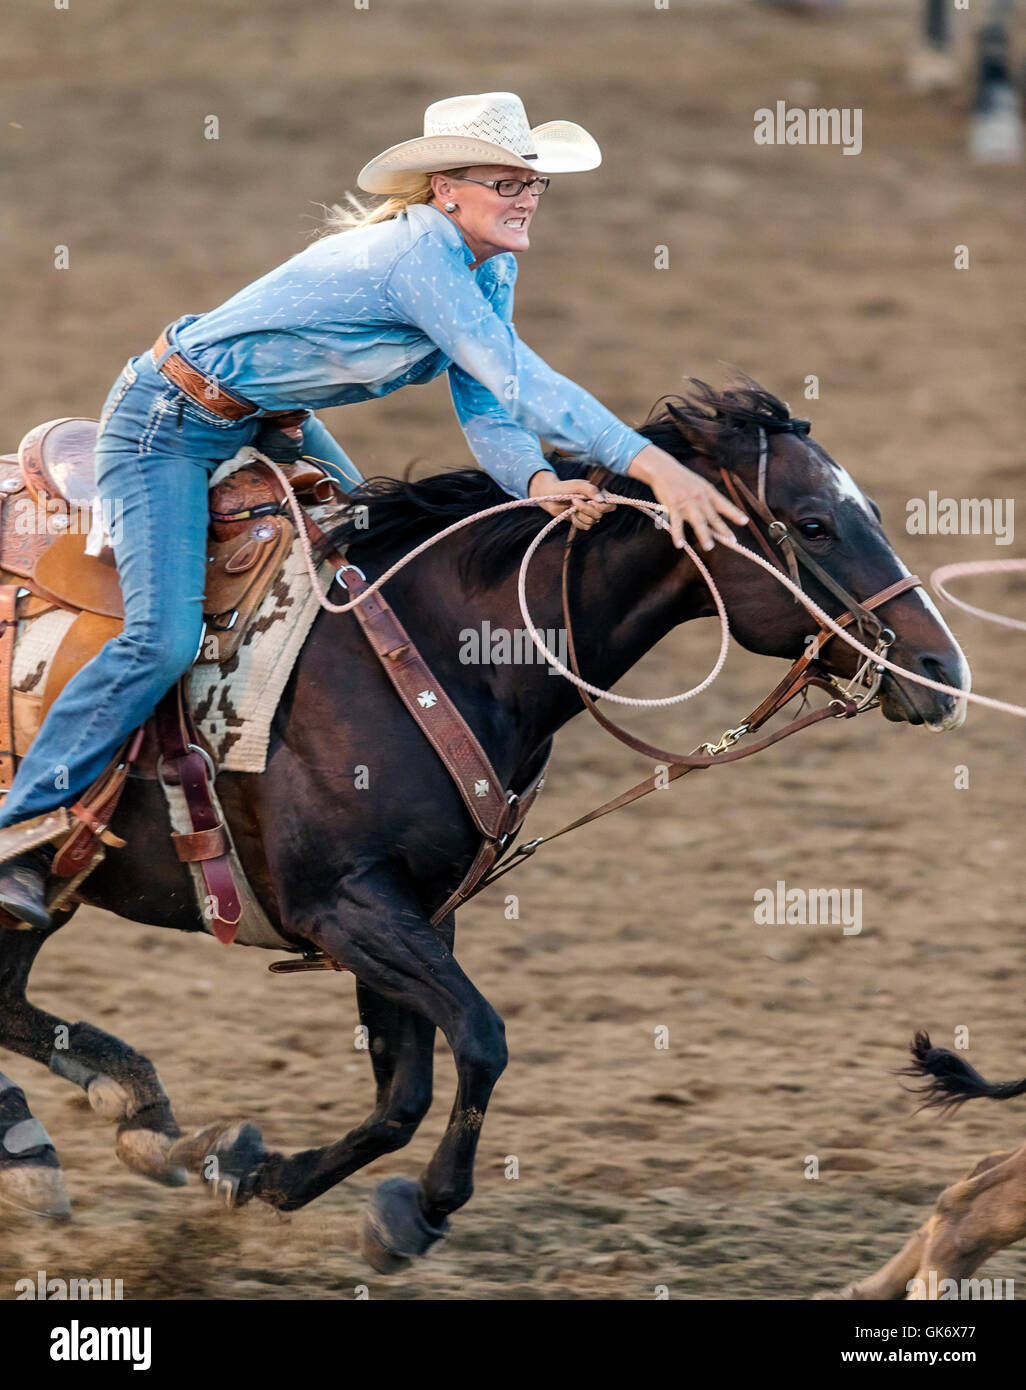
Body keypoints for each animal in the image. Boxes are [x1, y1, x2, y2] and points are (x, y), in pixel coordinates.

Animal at [0, 379, 970, 1272]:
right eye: (812, 524)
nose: (943, 670)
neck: (437, 649)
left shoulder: (419, 909)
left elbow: (404, 1093)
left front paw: (258, 1173)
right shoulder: (346, 905)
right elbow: (481, 1040)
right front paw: (419, 1208)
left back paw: (134, 1122)